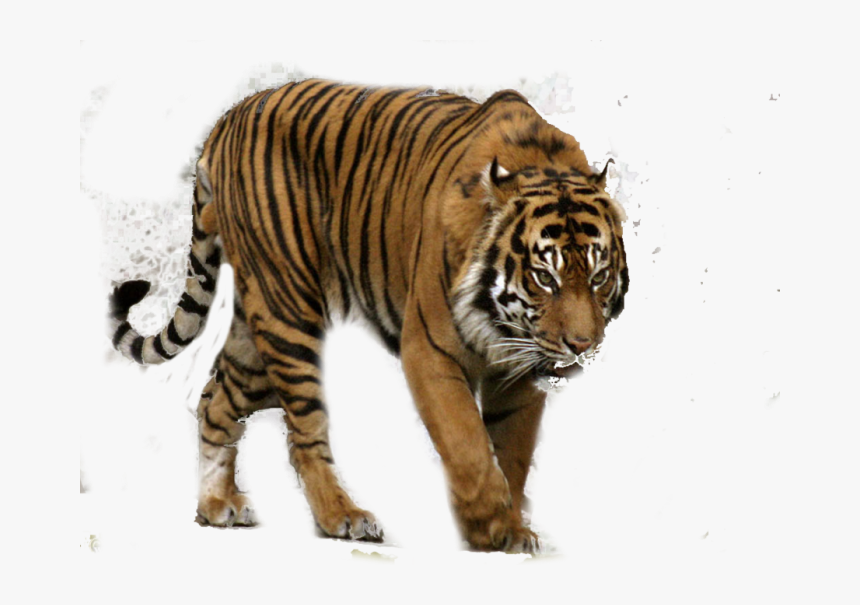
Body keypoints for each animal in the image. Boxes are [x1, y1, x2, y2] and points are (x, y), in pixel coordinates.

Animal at [107, 79, 629, 553]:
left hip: (252, 342)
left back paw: (217, 506)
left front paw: (512, 527)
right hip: (287, 315)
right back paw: (342, 516)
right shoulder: (430, 352)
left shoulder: (518, 368)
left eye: (600, 276)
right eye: (545, 277)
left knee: (213, 400)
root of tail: (229, 117)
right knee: (303, 433)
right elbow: (469, 444)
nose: (582, 345)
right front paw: (490, 524)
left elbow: (512, 453)